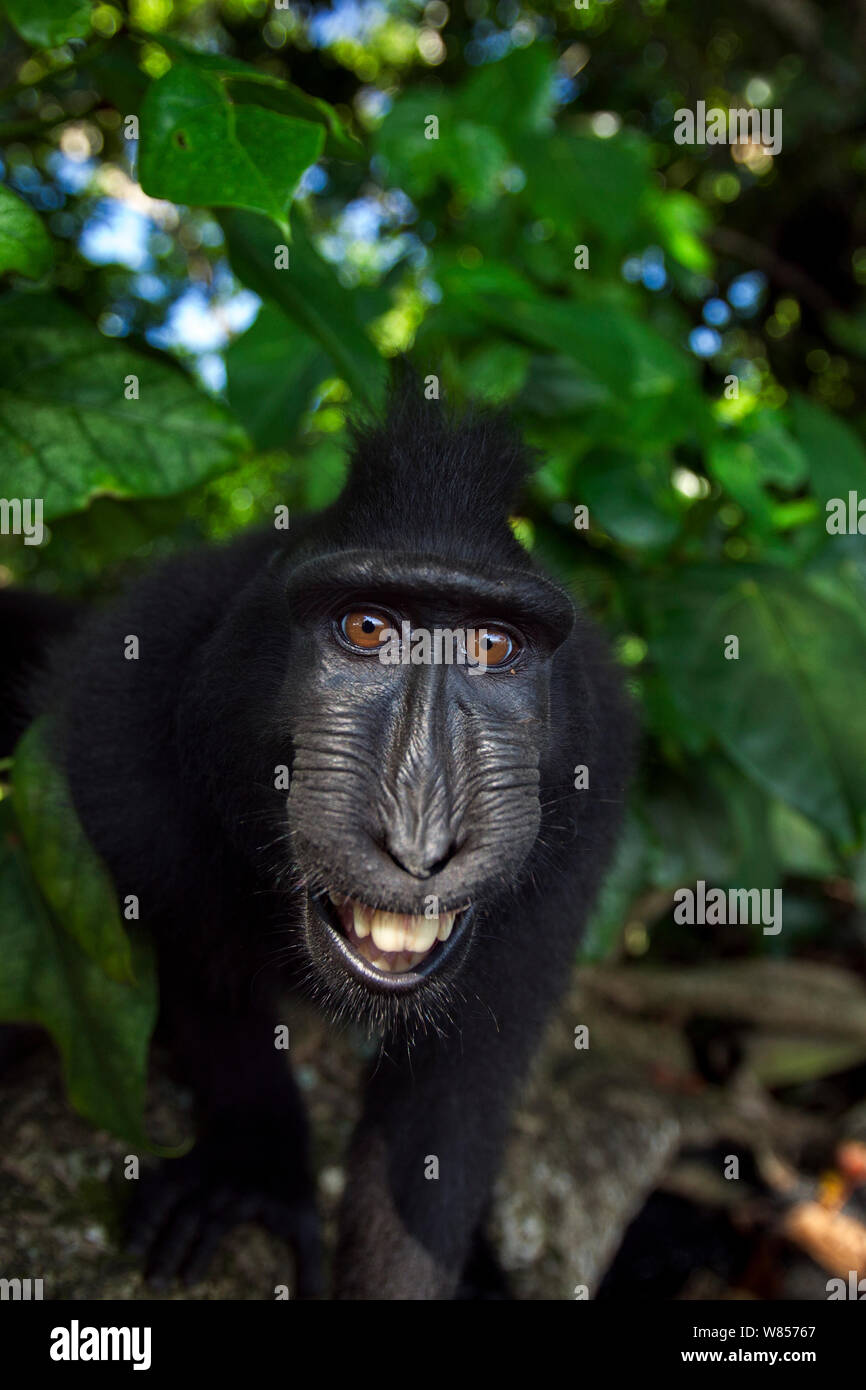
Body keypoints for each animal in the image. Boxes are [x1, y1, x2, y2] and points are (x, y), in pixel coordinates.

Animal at [9, 382, 634, 1299]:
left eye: (493, 644)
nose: (419, 840)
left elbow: (447, 1114)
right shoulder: (122, 735)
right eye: (366, 629)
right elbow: (203, 979)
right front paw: (254, 1170)